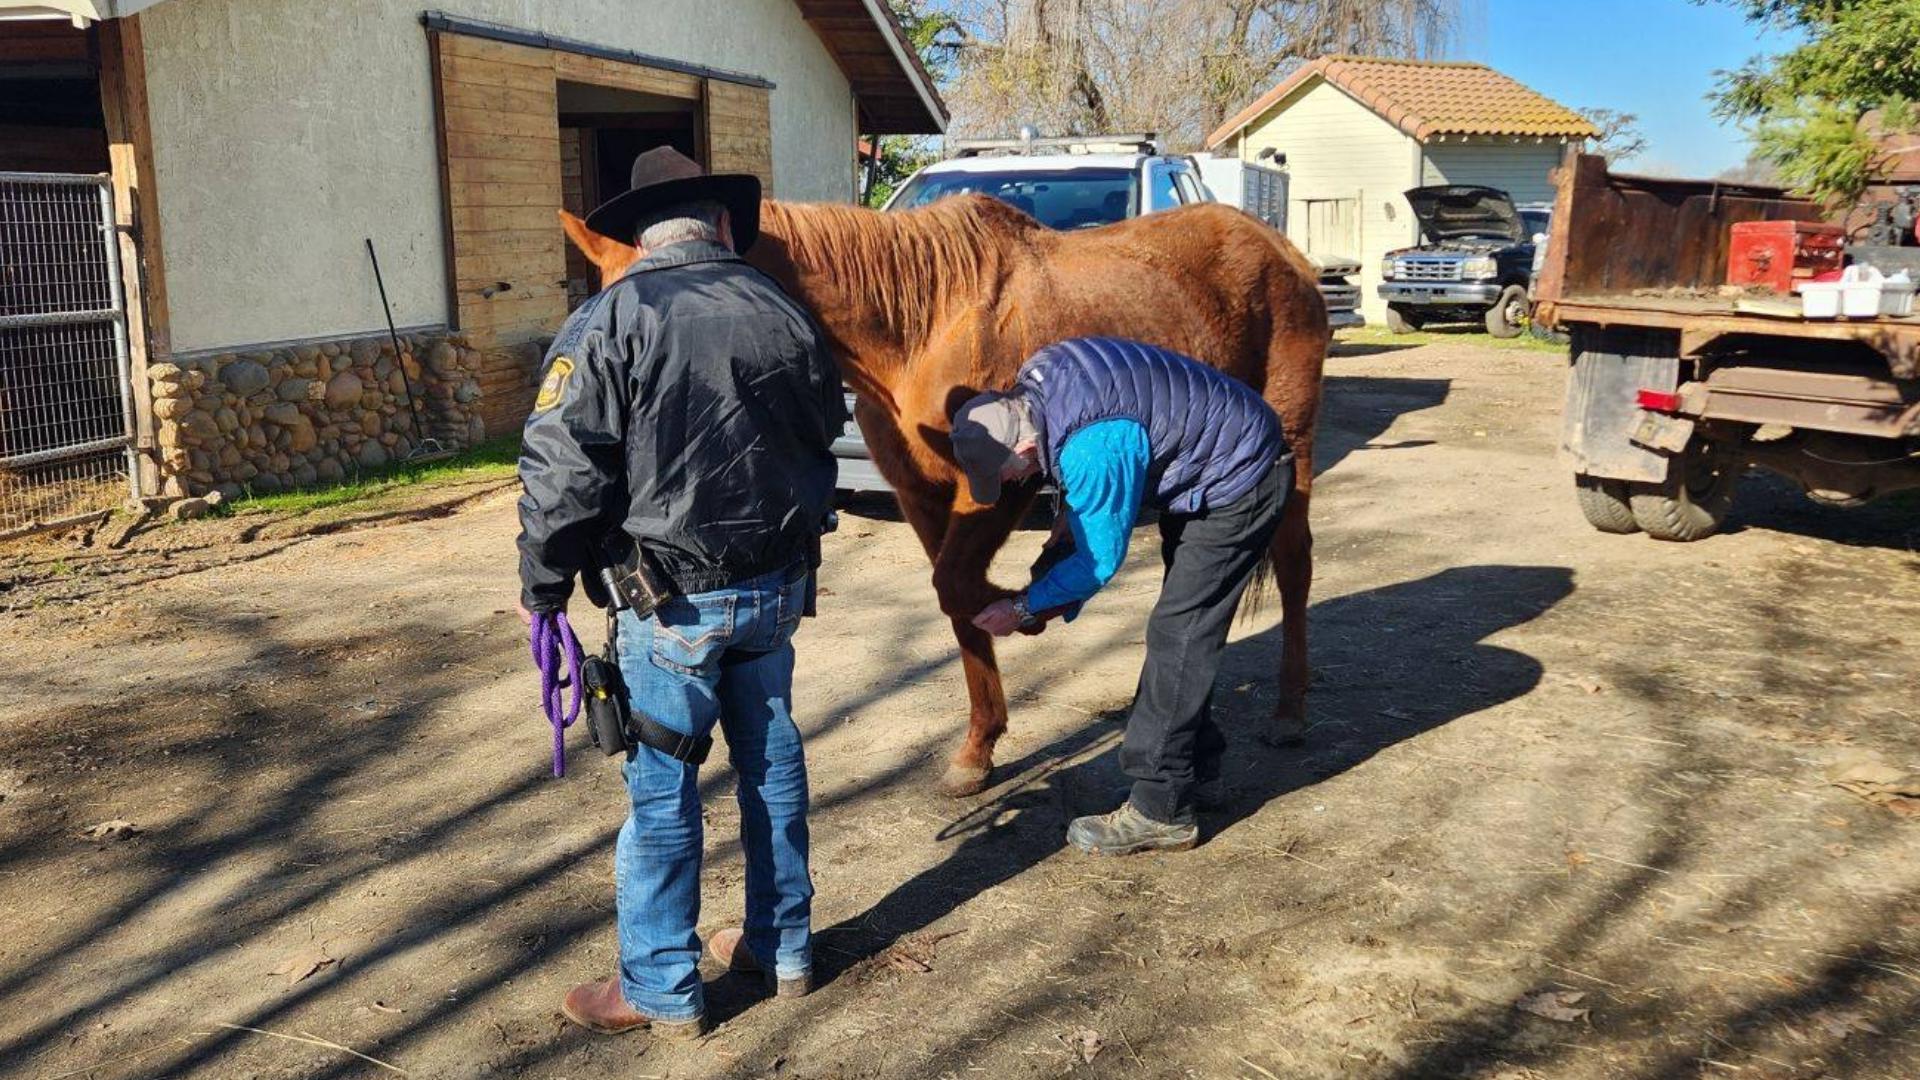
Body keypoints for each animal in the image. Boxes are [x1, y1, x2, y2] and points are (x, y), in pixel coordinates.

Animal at [559, 194, 1328, 796]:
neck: (923, 323)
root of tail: (1283, 251)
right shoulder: (923, 497)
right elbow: (954, 601)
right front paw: (979, 748)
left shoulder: (998, 486)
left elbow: (964, 586)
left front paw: (1032, 605)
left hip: (1289, 447)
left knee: (1292, 566)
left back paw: (1291, 713)